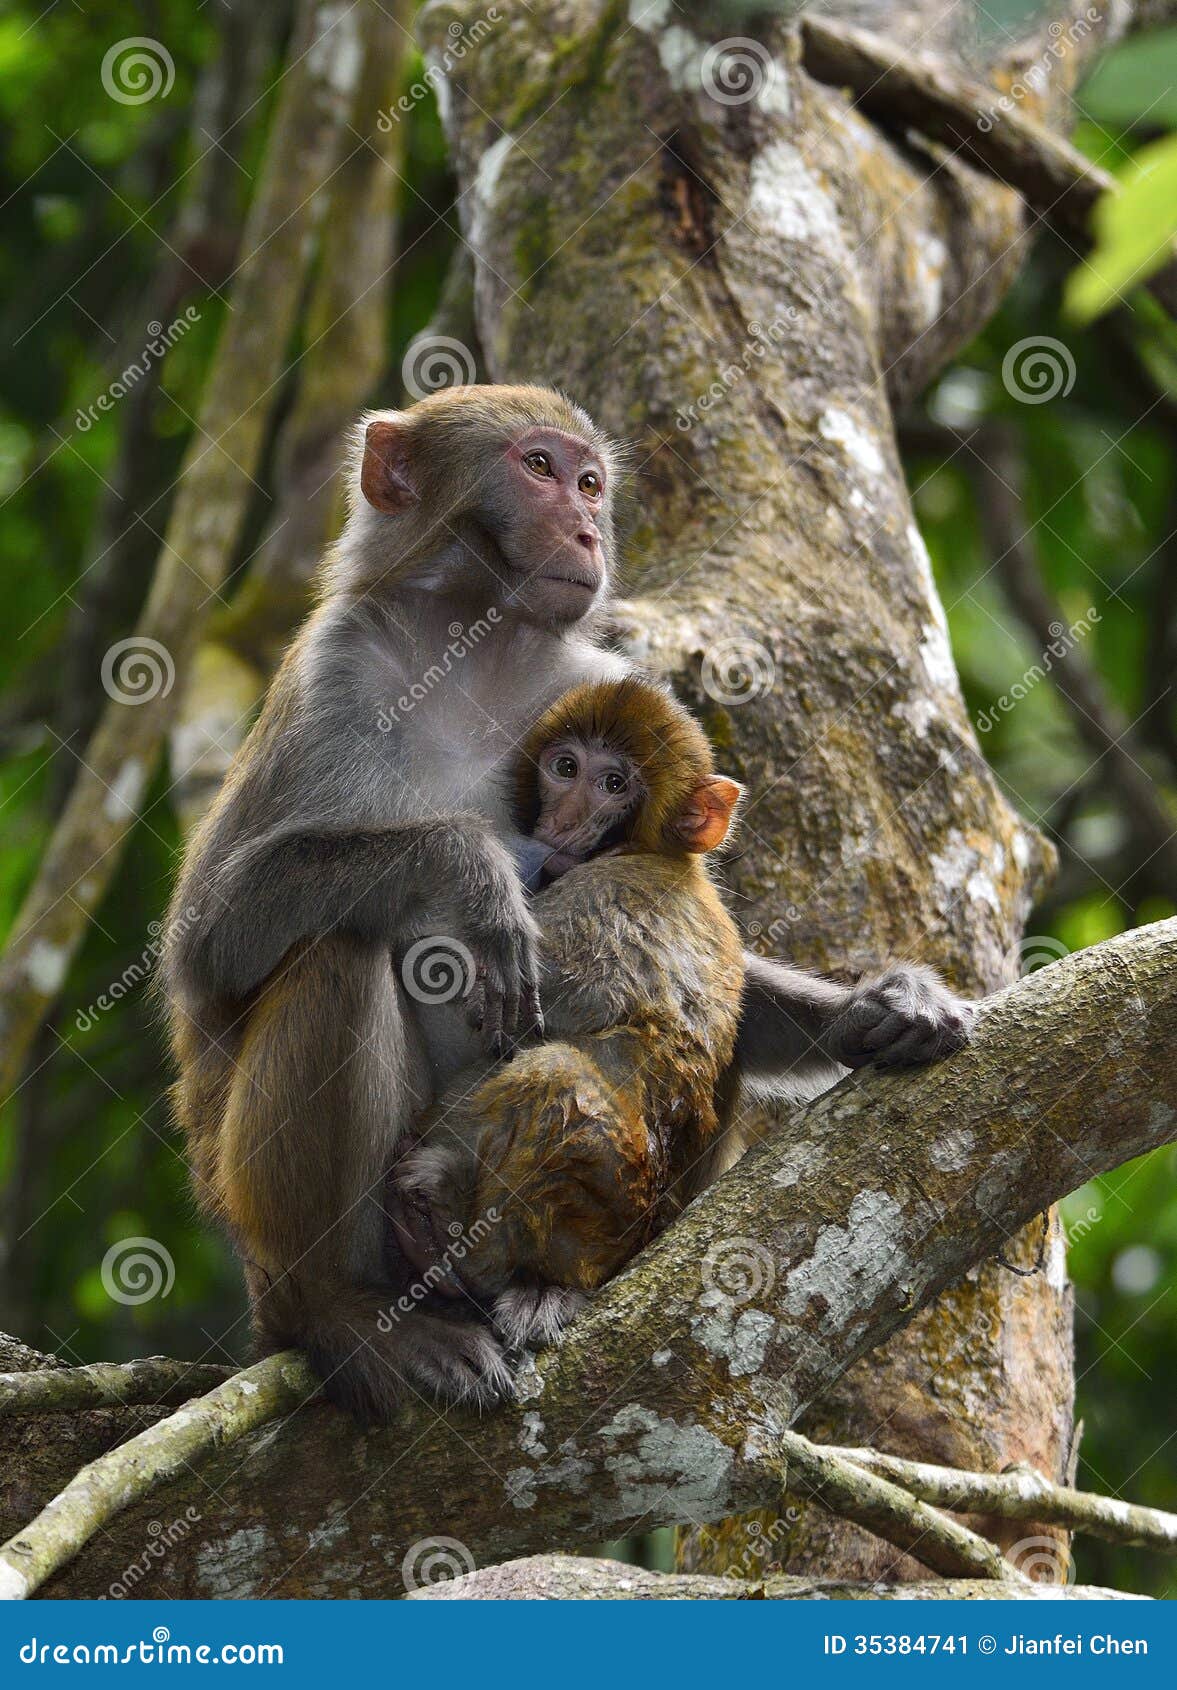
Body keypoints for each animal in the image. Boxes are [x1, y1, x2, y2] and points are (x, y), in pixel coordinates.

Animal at [161, 383, 973, 1423]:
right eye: (537, 469)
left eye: (590, 483)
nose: (586, 529)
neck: (473, 649)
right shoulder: (332, 673)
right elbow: (207, 944)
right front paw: (469, 869)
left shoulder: (591, 681)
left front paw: (877, 1009)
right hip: (259, 1219)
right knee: (338, 949)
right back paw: (342, 1315)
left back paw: (542, 1284)